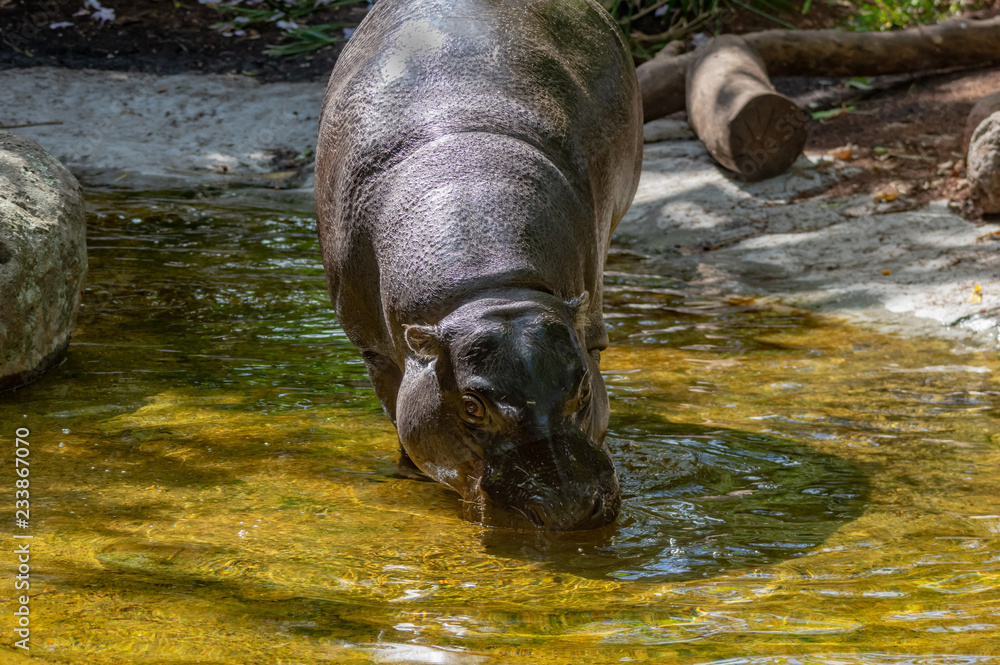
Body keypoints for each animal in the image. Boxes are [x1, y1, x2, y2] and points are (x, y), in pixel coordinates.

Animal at [315, 0, 643, 530]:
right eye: (471, 405)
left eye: (582, 389)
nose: (567, 508)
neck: (491, 289)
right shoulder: (377, 354)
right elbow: (402, 414)